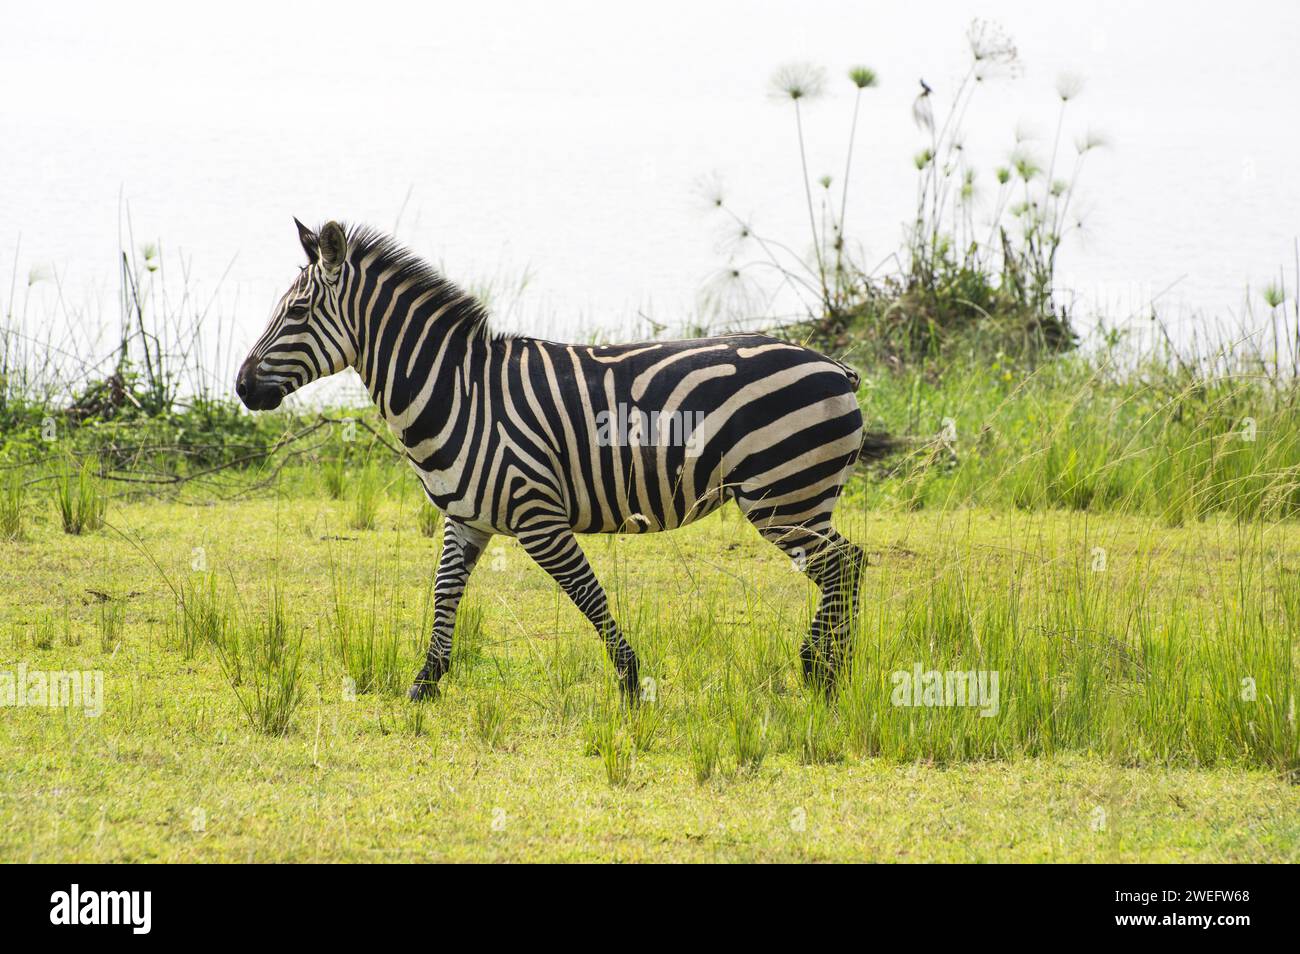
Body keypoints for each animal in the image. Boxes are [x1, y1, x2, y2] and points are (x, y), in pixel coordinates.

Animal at [237, 220, 889, 702]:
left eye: (295, 314)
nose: (241, 387)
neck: (458, 391)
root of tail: (835, 366)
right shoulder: (465, 518)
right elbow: (444, 591)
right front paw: (425, 683)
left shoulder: (537, 515)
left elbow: (587, 594)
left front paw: (630, 681)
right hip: (798, 496)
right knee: (848, 563)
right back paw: (828, 669)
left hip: (785, 493)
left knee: (843, 565)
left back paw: (821, 672)